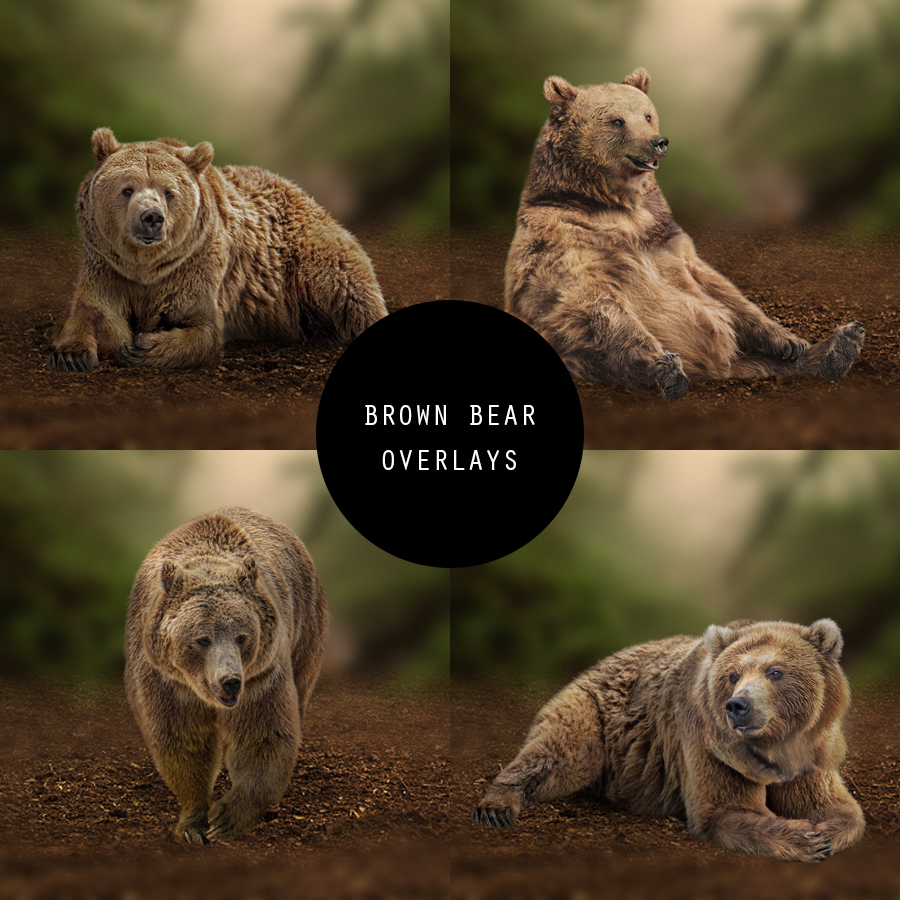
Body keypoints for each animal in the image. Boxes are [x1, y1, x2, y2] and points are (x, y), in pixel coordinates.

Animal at [50, 128, 388, 372]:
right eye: (127, 188)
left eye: (169, 192)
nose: (152, 218)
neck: (146, 267)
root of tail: (300, 191)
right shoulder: (107, 266)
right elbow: (91, 309)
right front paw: (73, 354)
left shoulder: (195, 266)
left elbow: (203, 328)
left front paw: (144, 347)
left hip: (307, 257)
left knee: (348, 290)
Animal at [124, 507, 329, 843]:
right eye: (202, 639)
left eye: (241, 636)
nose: (230, 681)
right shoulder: (164, 679)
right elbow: (182, 739)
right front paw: (193, 824)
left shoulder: (261, 675)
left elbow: (263, 734)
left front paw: (226, 818)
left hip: (306, 625)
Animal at [473, 619, 865, 862]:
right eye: (732, 674)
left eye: (775, 671)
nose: (737, 705)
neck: (774, 748)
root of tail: (596, 664)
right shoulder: (709, 745)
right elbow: (724, 809)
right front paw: (805, 838)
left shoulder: (812, 753)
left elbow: (838, 806)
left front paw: (823, 831)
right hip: (593, 713)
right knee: (558, 750)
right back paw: (497, 806)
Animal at [505, 68, 864, 400]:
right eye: (617, 121)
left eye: (647, 115)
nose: (658, 142)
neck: (612, 201)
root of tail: (715, 370)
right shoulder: (568, 240)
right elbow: (595, 303)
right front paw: (662, 364)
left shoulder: (666, 237)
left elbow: (719, 287)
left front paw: (791, 341)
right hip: (569, 353)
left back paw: (838, 346)